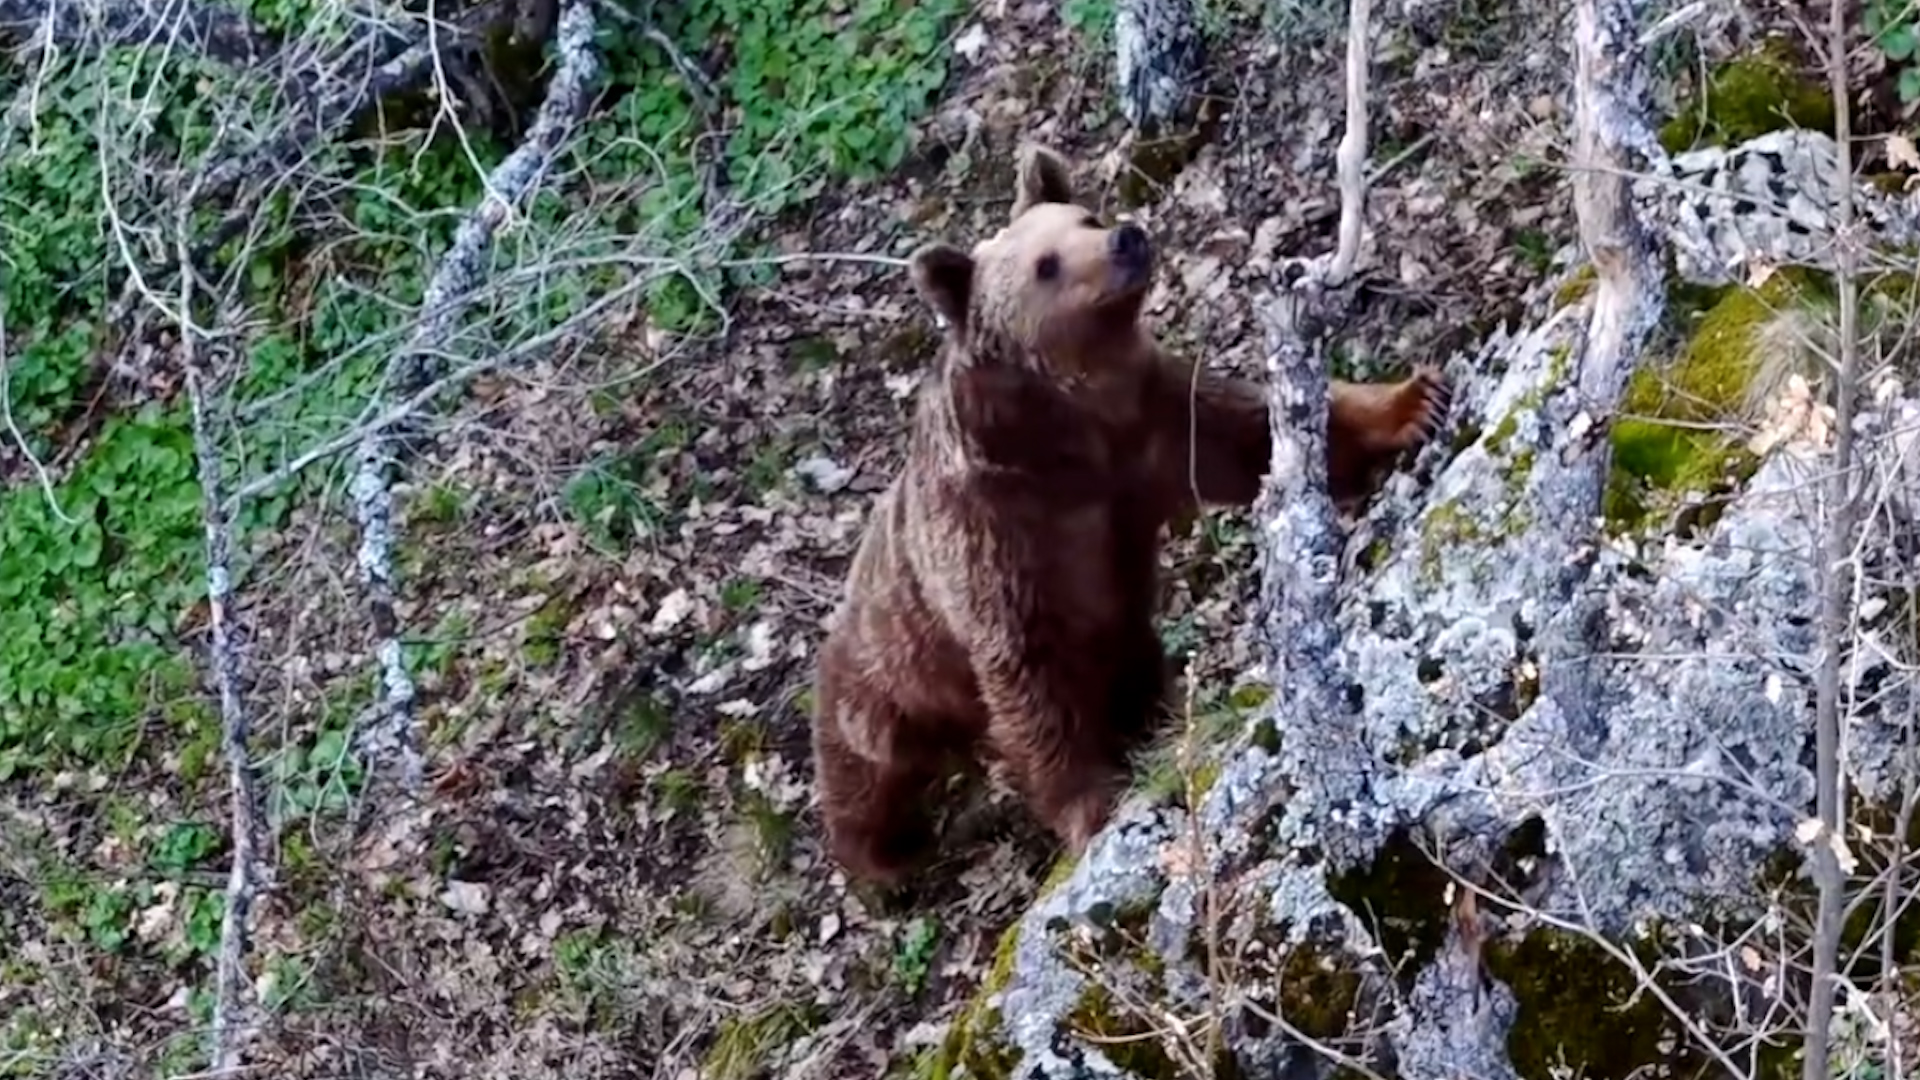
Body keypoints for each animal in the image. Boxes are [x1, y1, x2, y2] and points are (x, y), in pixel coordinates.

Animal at [810, 143, 1450, 887]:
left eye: (1083, 217)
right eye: (1045, 263)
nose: (1125, 238)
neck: (1073, 422)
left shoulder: (1150, 432)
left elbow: (1252, 434)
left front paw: (1413, 402)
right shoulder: (997, 534)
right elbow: (1029, 677)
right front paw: (1092, 807)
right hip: (885, 682)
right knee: (867, 777)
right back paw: (885, 858)